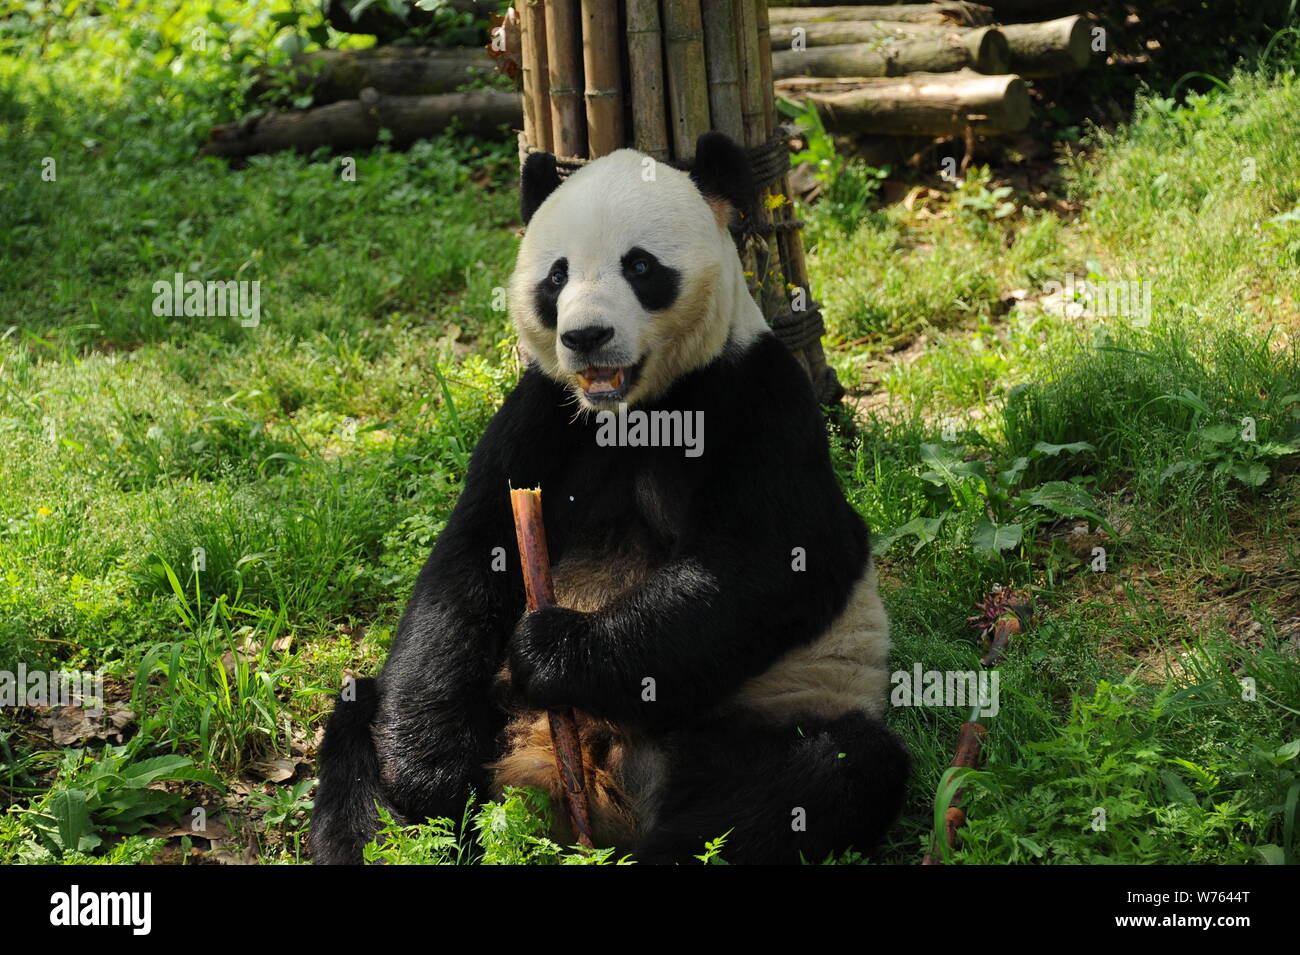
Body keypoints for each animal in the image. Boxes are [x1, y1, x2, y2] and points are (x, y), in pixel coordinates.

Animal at [311, 131, 910, 865]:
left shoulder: (758, 397)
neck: (632, 408)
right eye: (556, 277)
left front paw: (553, 650)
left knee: (822, 776)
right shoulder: (539, 416)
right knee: (357, 717)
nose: (586, 336)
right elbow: (468, 563)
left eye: (640, 266)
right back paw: (405, 839)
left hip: (762, 716)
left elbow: (774, 561)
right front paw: (429, 773)